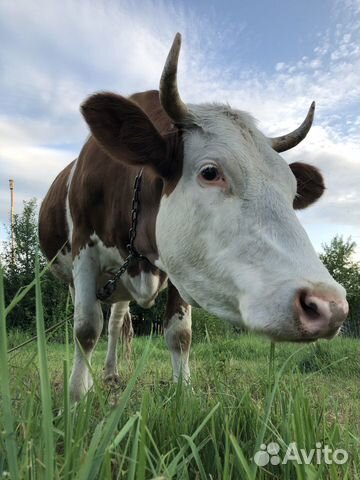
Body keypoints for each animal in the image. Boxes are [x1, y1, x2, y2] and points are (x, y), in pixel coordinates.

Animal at [38, 33, 348, 402]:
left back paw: (112, 374)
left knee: (116, 323)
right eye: (210, 172)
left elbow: (179, 334)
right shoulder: (83, 250)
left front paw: (183, 395)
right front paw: (76, 397)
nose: (329, 306)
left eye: (292, 190)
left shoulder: (177, 268)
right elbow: (85, 328)